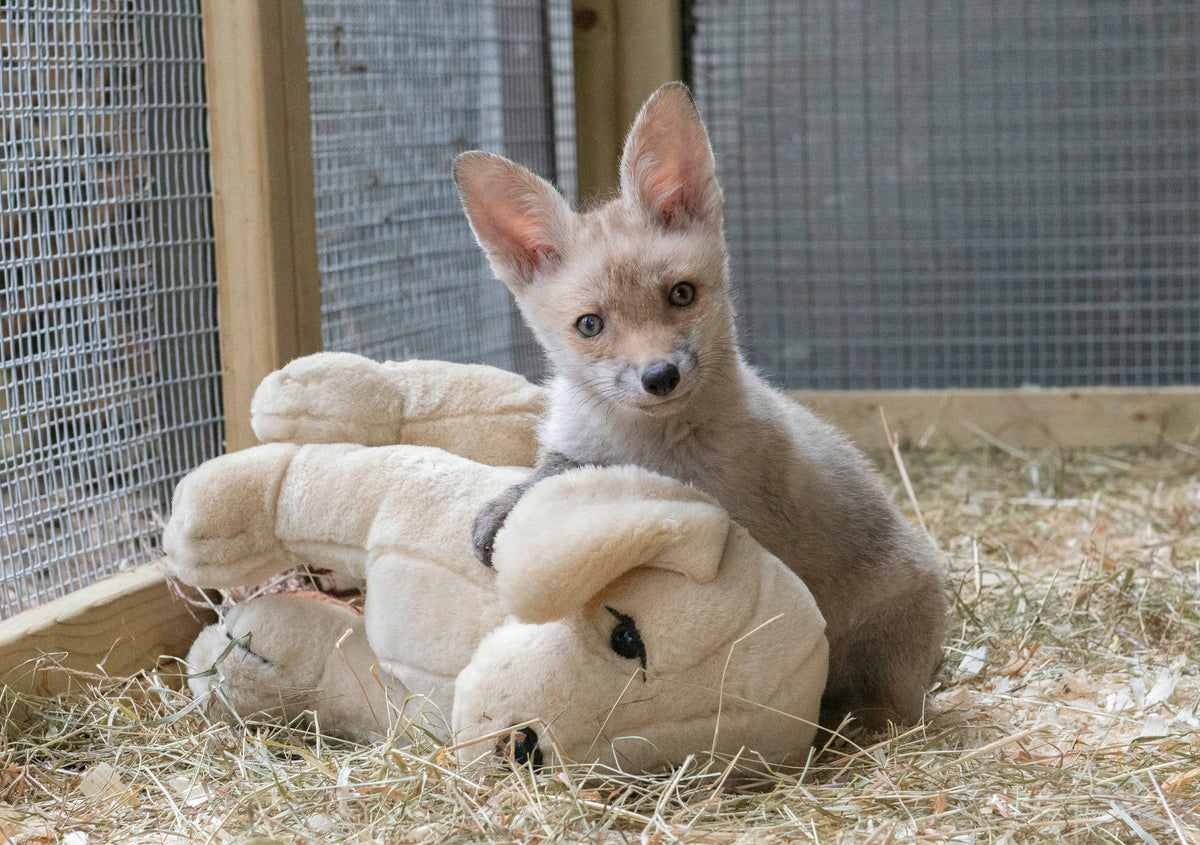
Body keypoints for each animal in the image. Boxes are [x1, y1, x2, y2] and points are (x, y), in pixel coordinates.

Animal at [453, 82, 946, 728]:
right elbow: (551, 475)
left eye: (681, 294)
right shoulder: (577, 451)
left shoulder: (744, 524)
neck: (653, 448)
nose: (659, 375)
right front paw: (502, 509)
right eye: (590, 325)